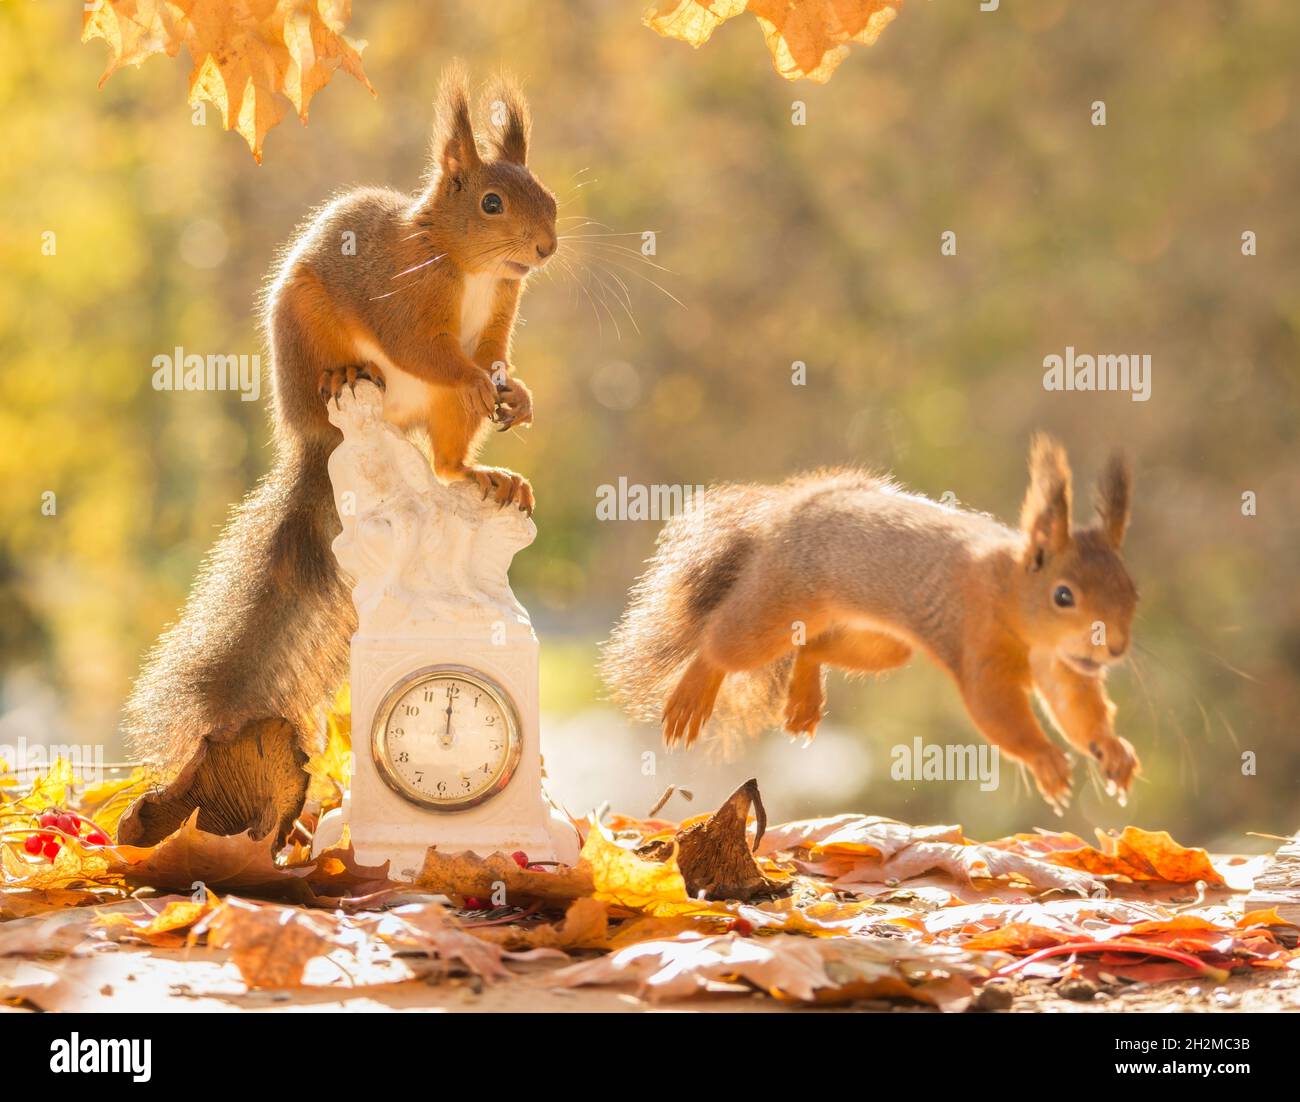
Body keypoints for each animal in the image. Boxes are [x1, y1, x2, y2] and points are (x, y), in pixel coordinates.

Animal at [119, 66, 557, 844]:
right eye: (492, 202)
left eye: (549, 195)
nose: (546, 249)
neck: (471, 268)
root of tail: (312, 442)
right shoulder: (405, 296)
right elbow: (429, 350)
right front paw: (482, 381)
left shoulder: (500, 313)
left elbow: (491, 356)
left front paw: (518, 392)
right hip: (314, 339)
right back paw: (350, 379)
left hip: (437, 418)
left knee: (444, 464)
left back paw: (483, 474)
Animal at [600, 437, 1141, 812]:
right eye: (1063, 596)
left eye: (1132, 590)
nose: (1114, 649)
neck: (1010, 593)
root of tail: (787, 510)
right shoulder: (979, 647)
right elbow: (998, 711)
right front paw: (1045, 761)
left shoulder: (1064, 666)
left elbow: (1079, 711)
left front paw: (1113, 751)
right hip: (777, 605)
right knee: (723, 645)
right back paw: (692, 695)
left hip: (881, 643)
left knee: (813, 646)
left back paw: (803, 701)